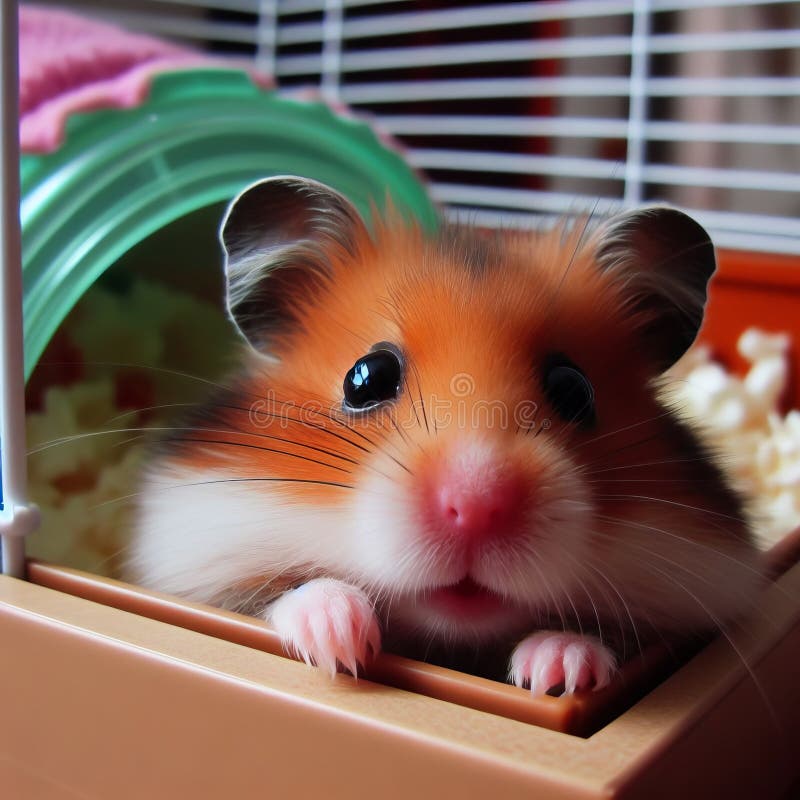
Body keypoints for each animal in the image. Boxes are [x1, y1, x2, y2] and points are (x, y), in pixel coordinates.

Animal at [129, 175, 763, 695]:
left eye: (574, 389)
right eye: (365, 377)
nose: (478, 507)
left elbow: (597, 637)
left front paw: (556, 669)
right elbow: (283, 595)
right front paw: (343, 643)